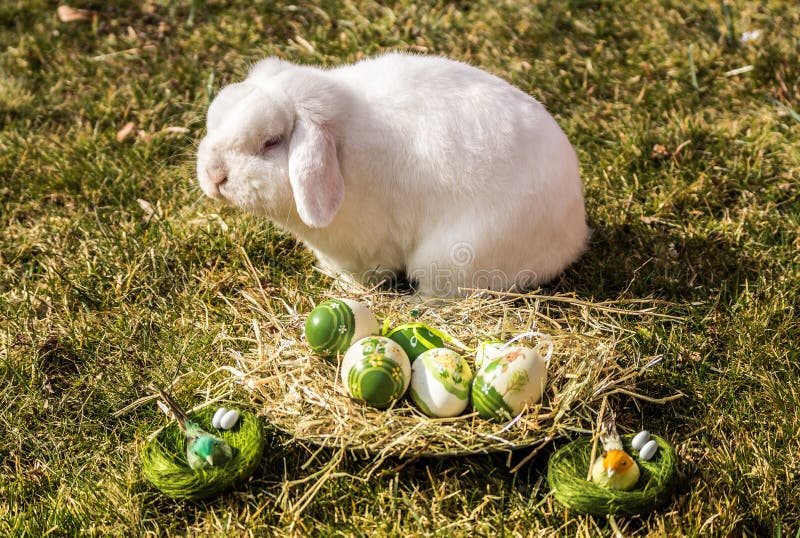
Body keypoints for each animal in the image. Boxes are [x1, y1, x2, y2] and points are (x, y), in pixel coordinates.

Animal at [197, 52, 589, 297]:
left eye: (271, 142)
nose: (215, 175)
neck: (342, 148)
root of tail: (574, 237)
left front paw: (347, 290)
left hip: (447, 260)